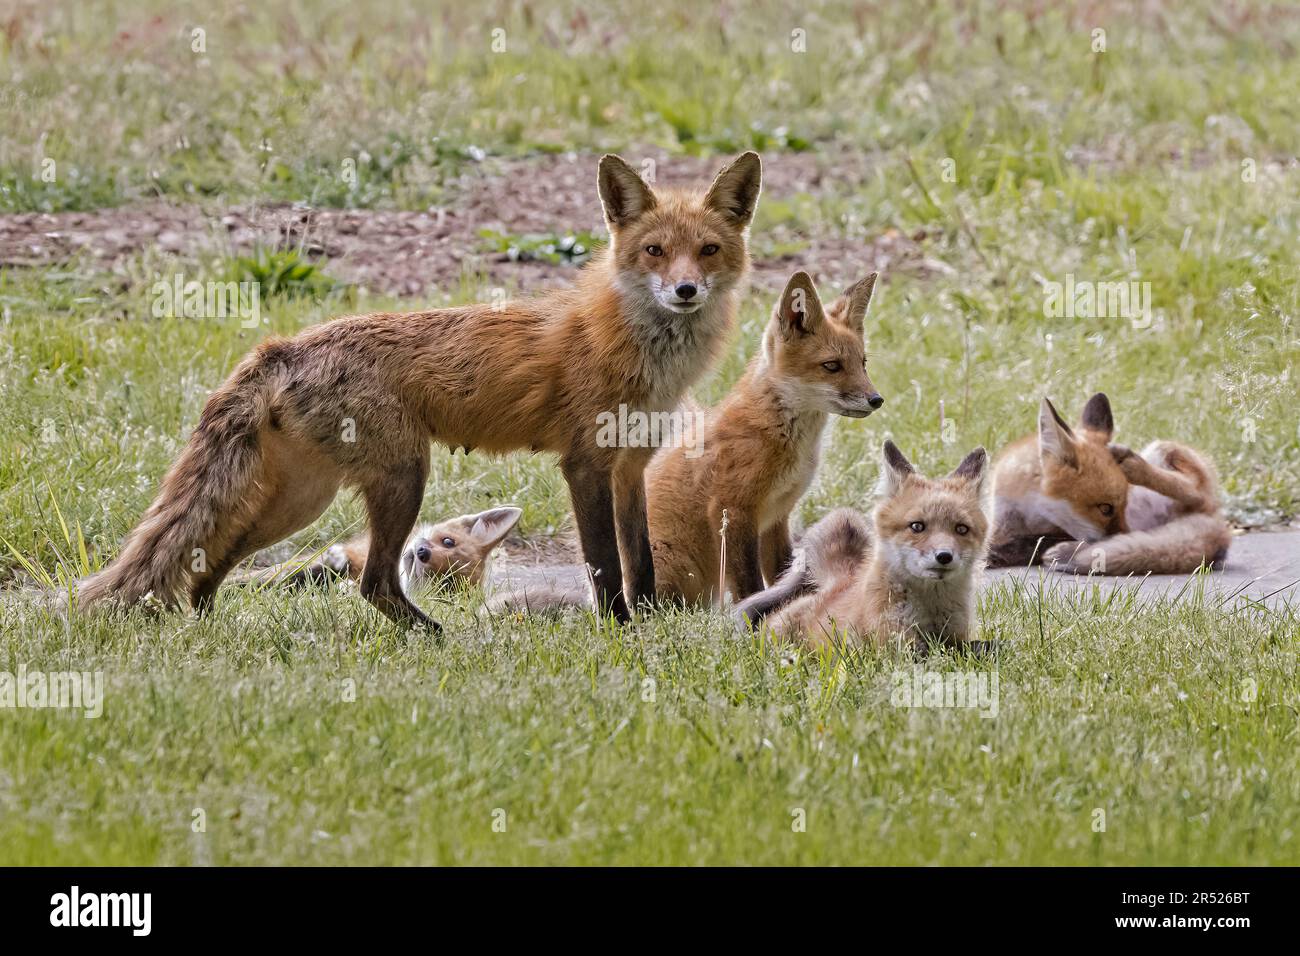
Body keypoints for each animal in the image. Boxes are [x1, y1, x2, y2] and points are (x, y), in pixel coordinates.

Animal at [646, 269, 883, 606]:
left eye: (862, 363)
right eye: (832, 366)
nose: (877, 400)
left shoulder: (777, 515)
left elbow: (782, 572)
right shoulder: (732, 510)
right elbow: (750, 585)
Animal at [734, 440, 990, 652]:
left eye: (961, 529)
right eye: (917, 526)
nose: (944, 556)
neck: (931, 607)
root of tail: (840, 582)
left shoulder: (956, 636)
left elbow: (976, 647)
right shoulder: (896, 647)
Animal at [988, 392, 1231, 574]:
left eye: (1122, 506)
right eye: (1106, 508)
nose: (1126, 534)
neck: (1023, 514)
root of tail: (1218, 521)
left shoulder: (1053, 532)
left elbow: (1029, 543)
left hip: (1163, 450)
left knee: (1195, 489)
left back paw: (1133, 463)